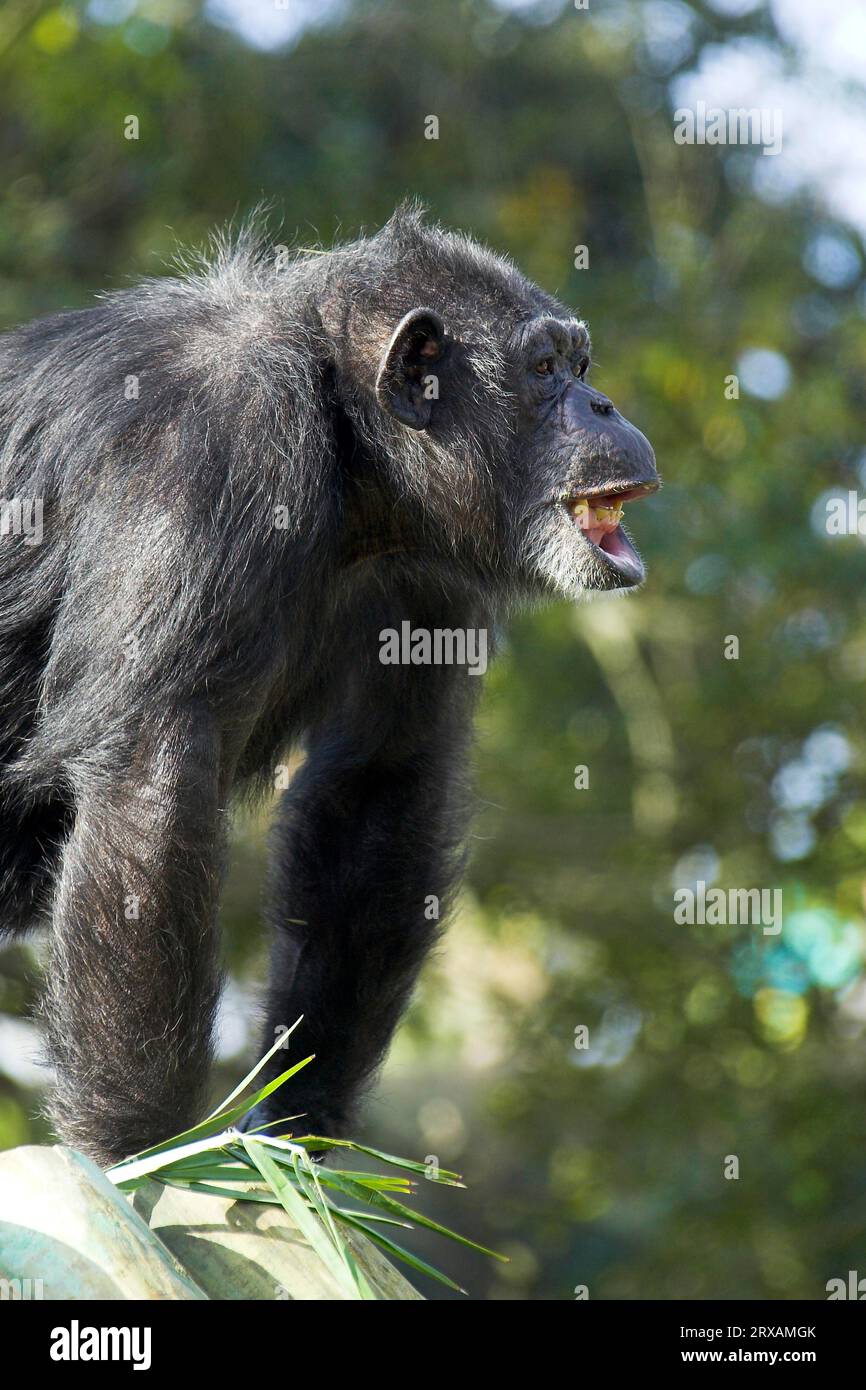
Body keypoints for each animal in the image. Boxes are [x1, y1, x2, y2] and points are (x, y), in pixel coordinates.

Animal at [0, 204, 658, 1164]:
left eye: (580, 365)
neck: (351, 452)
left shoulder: (428, 577)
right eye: (544, 369)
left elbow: (378, 784)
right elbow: (150, 780)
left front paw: (301, 1135)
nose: (603, 405)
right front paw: (140, 1154)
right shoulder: (211, 449)